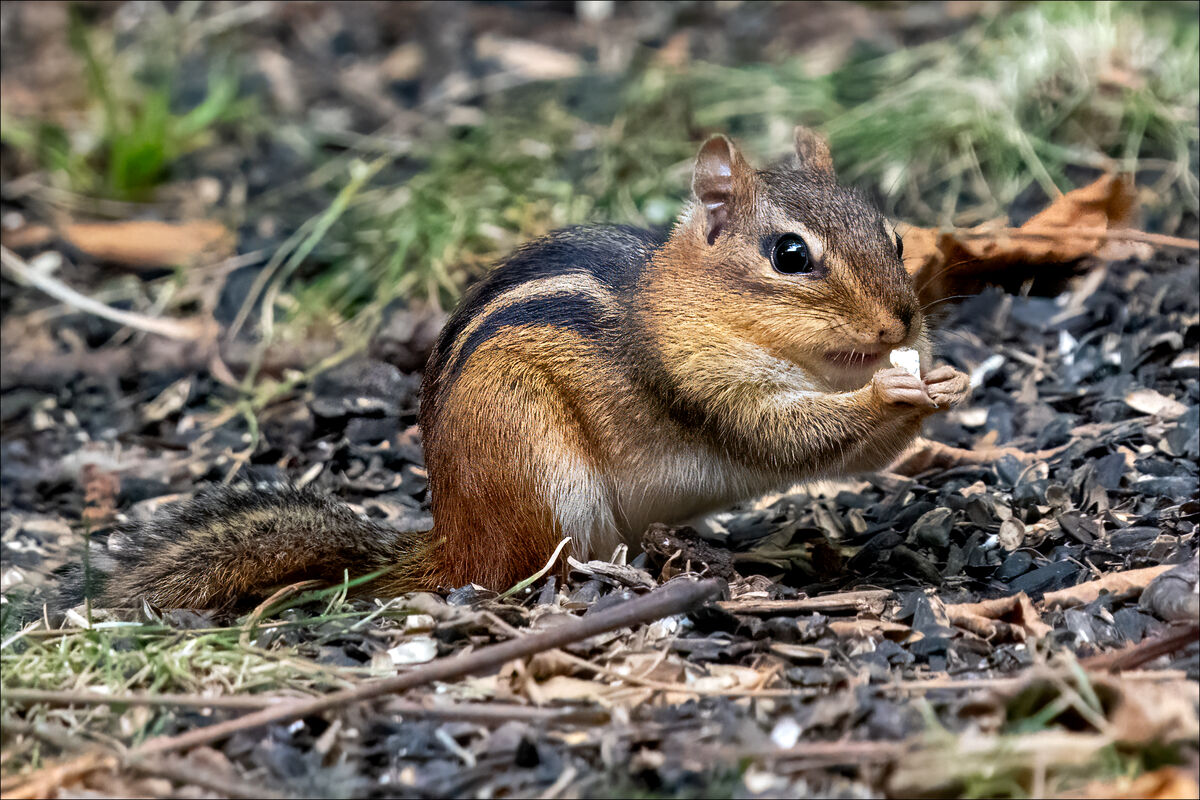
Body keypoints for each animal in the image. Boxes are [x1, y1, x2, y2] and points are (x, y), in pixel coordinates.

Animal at [59, 126, 969, 612]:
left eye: (893, 237)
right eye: (790, 255)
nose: (903, 324)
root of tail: (452, 540)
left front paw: (943, 382)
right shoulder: (703, 380)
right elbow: (789, 438)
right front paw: (894, 386)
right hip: (533, 458)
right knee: (532, 569)